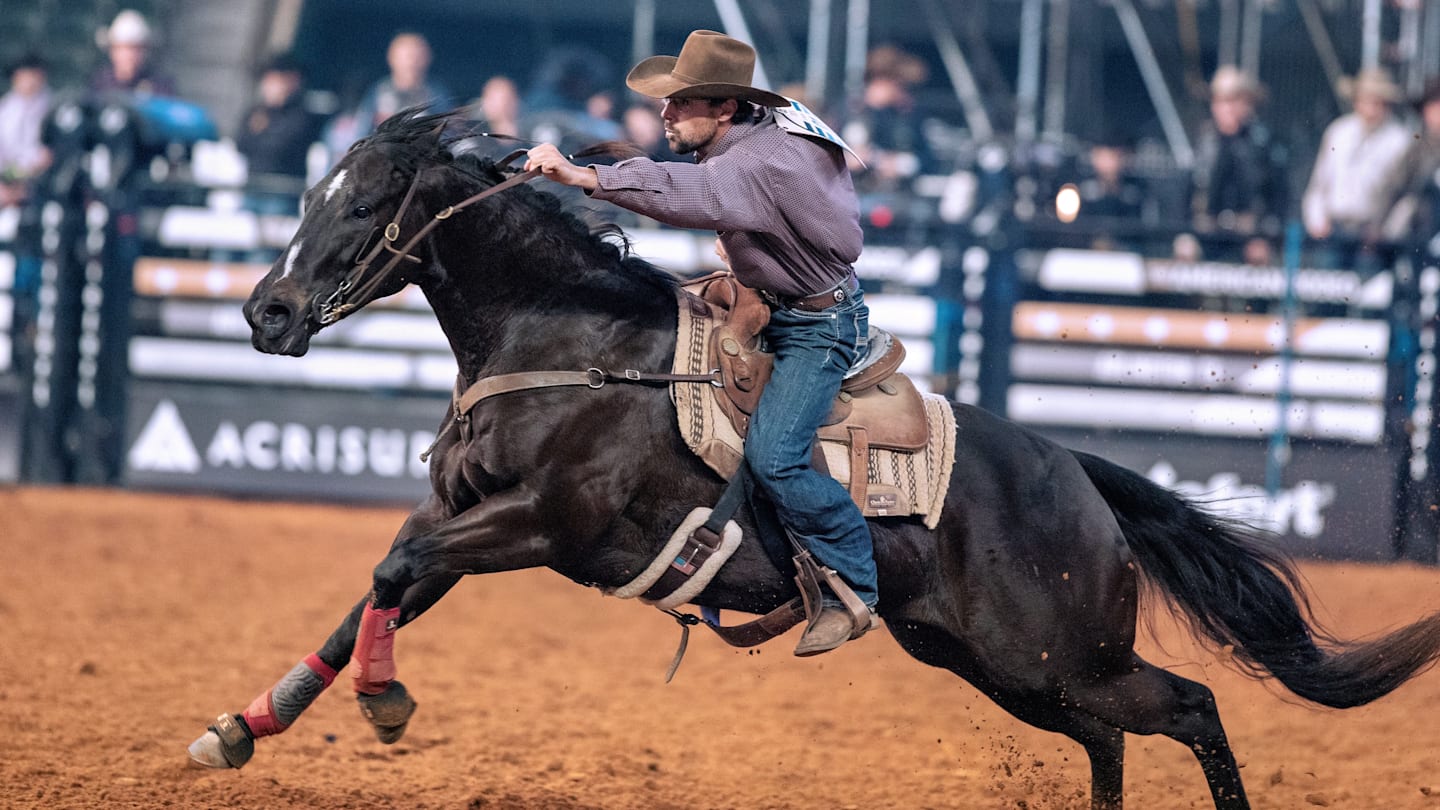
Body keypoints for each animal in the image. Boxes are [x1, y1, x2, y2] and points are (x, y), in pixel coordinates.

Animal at [188, 110, 1440, 809]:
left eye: (361, 204)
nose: (264, 311)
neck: (566, 339)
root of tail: (1076, 472)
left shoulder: (544, 525)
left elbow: (395, 566)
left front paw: (387, 706)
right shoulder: (470, 520)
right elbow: (380, 586)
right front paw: (241, 729)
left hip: (1052, 652)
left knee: (1187, 708)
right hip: (999, 663)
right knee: (1110, 737)